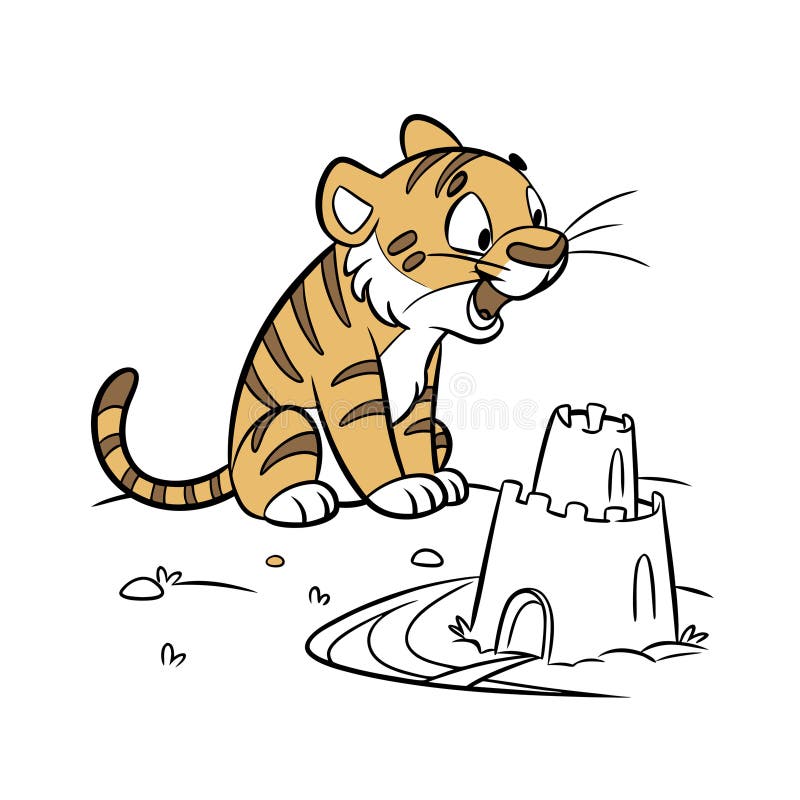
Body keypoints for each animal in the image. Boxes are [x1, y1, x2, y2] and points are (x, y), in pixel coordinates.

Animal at [91, 115, 568, 526]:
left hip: (438, 431)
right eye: (478, 237)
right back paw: (299, 499)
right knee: (257, 494)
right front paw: (401, 490)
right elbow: (369, 437)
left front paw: (430, 479)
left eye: (537, 214)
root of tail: (230, 461)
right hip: (288, 423)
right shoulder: (349, 375)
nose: (550, 251)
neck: (412, 320)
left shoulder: (425, 386)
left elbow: (413, 434)